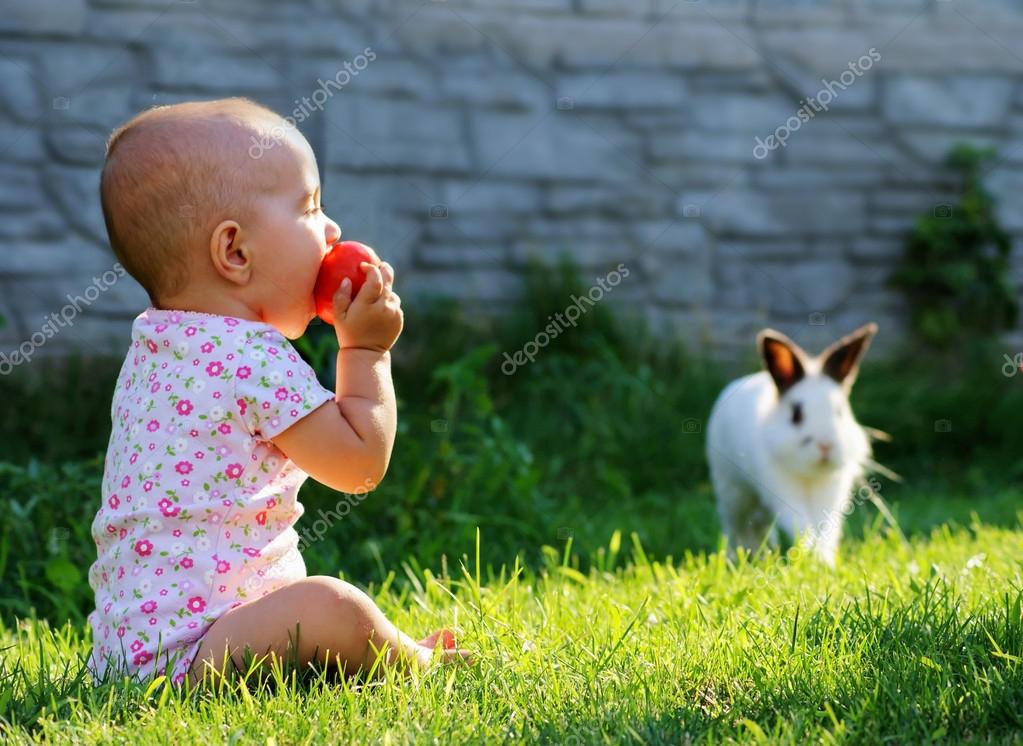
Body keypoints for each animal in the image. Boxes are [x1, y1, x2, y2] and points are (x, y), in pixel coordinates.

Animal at [706, 323, 878, 566]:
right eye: (796, 415)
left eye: (840, 412)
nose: (825, 445)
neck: (811, 476)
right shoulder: (783, 493)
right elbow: (801, 523)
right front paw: (812, 556)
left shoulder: (830, 496)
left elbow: (825, 530)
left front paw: (824, 561)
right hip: (732, 492)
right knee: (735, 526)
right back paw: (738, 556)